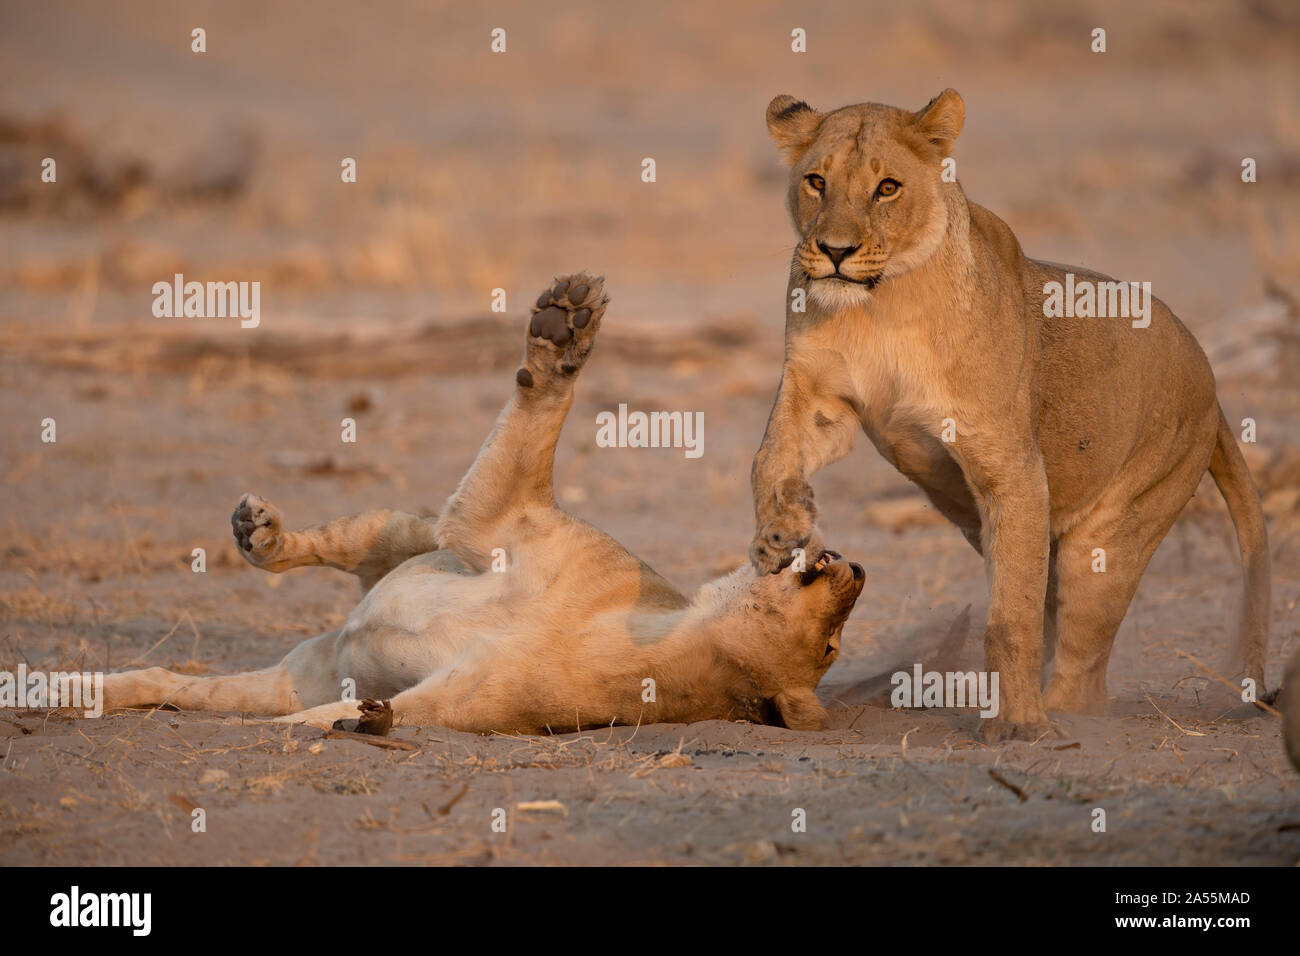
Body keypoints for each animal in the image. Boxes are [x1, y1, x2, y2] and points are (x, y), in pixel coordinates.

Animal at [103, 274, 864, 734]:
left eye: (829, 647)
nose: (855, 569)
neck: (672, 638)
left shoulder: (468, 691)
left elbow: (356, 716)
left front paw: (352, 724)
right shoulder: (503, 524)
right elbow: (540, 415)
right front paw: (565, 322)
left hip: (303, 671)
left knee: (193, 683)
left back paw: (97, 691)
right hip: (403, 545)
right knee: (348, 544)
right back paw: (255, 532)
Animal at [749, 90, 1270, 741]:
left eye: (887, 188)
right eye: (816, 181)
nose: (836, 253)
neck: (879, 307)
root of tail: (1211, 377)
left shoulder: (1012, 467)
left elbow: (1010, 620)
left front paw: (1020, 724)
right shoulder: (818, 397)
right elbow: (769, 458)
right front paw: (780, 534)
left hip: (1112, 533)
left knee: (1083, 665)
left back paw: (1057, 712)